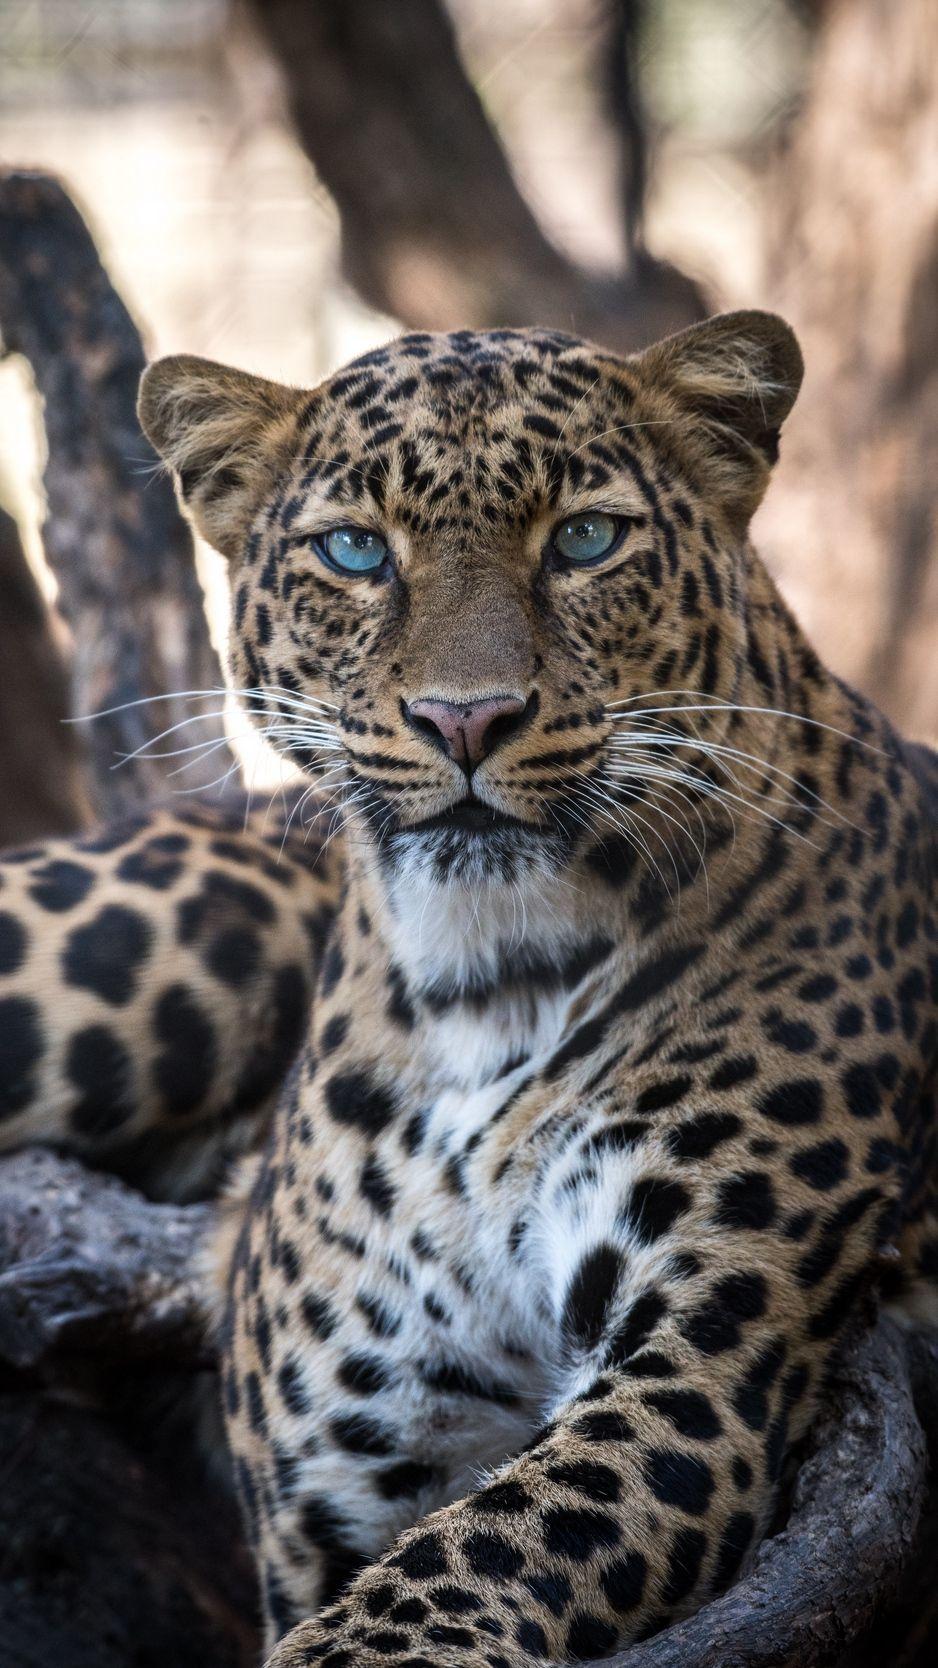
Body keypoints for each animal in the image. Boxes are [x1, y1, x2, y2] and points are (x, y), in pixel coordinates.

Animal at [1, 309, 936, 1668]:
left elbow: (454, 1569)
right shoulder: (352, 1462)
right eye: (353, 550)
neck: (484, 985)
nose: (465, 719)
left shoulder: (702, 1368)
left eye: (586, 538)